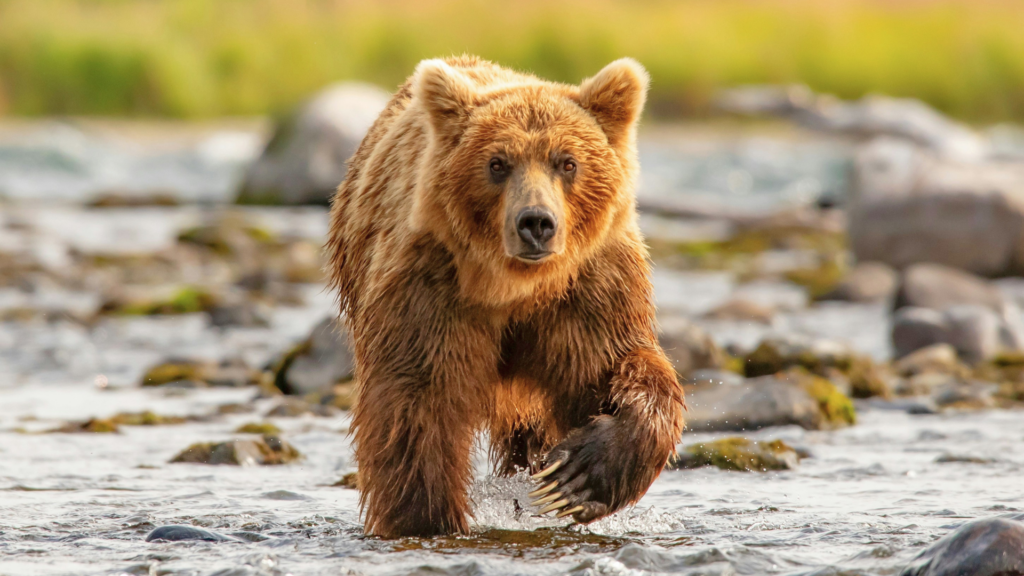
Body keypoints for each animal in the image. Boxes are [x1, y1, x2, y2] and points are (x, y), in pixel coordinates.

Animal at [326, 55, 686, 538]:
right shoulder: (431, 289)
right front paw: (427, 517)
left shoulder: (589, 291)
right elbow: (417, 403)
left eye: (567, 162)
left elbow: (620, 368)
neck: (514, 289)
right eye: (497, 163)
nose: (536, 222)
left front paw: (577, 477)